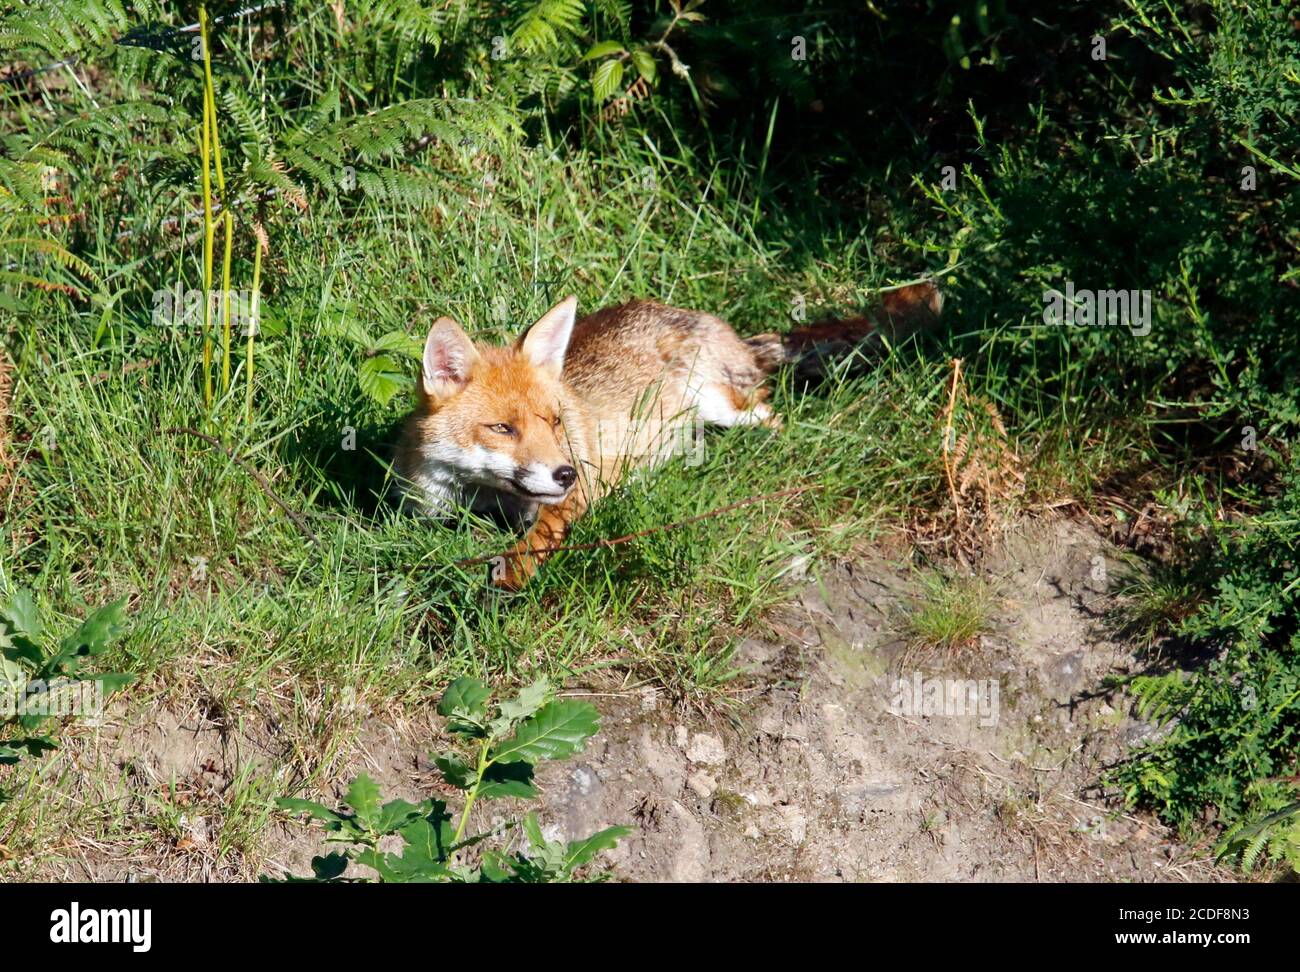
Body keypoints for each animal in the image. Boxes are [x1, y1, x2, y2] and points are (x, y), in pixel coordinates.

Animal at [393, 284, 941, 590]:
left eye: (554, 422)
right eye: (502, 428)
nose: (566, 471)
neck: (487, 499)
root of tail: (708, 319)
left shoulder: (577, 495)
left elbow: (539, 537)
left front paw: (513, 572)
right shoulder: (426, 508)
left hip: (725, 406)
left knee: (773, 414)